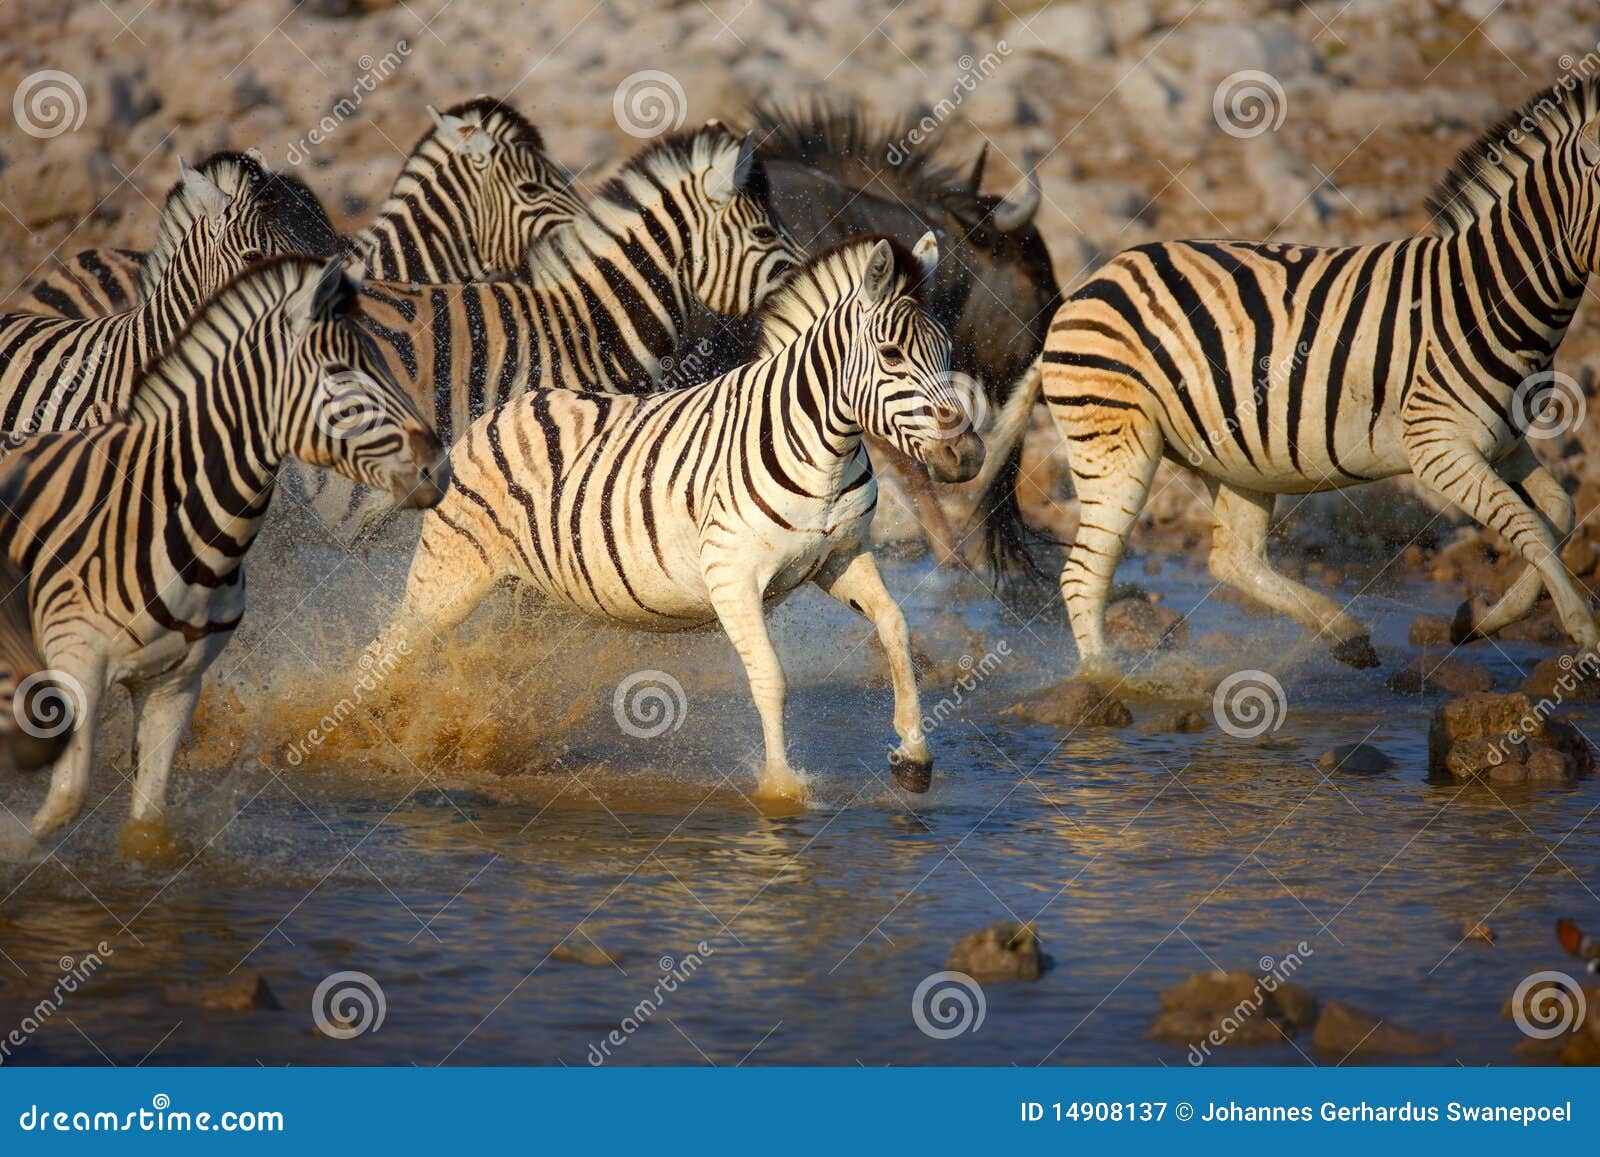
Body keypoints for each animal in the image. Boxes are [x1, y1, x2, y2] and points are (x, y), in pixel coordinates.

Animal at [0, 255, 448, 847]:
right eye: (338, 372)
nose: (440, 468)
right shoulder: (76, 663)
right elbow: (64, 802)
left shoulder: (176, 684)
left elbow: (149, 818)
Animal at [364, 235, 983, 801]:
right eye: (891, 355)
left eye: (948, 352)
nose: (969, 456)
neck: (824, 450)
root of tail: (500, 410)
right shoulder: (732, 575)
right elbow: (770, 677)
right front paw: (781, 789)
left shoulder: (841, 558)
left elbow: (896, 628)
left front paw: (913, 756)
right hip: (451, 574)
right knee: (385, 652)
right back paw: (369, 734)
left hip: (525, 595)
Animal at [1040, 76, 1600, 675]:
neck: (1487, 297)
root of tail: (1088, 284)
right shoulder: (1439, 446)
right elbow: (1529, 527)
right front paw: (1583, 632)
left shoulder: (1504, 444)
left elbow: (1559, 513)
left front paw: (1482, 621)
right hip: (1115, 443)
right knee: (1083, 574)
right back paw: (1105, 684)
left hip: (1231, 455)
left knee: (1232, 558)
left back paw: (1345, 634)